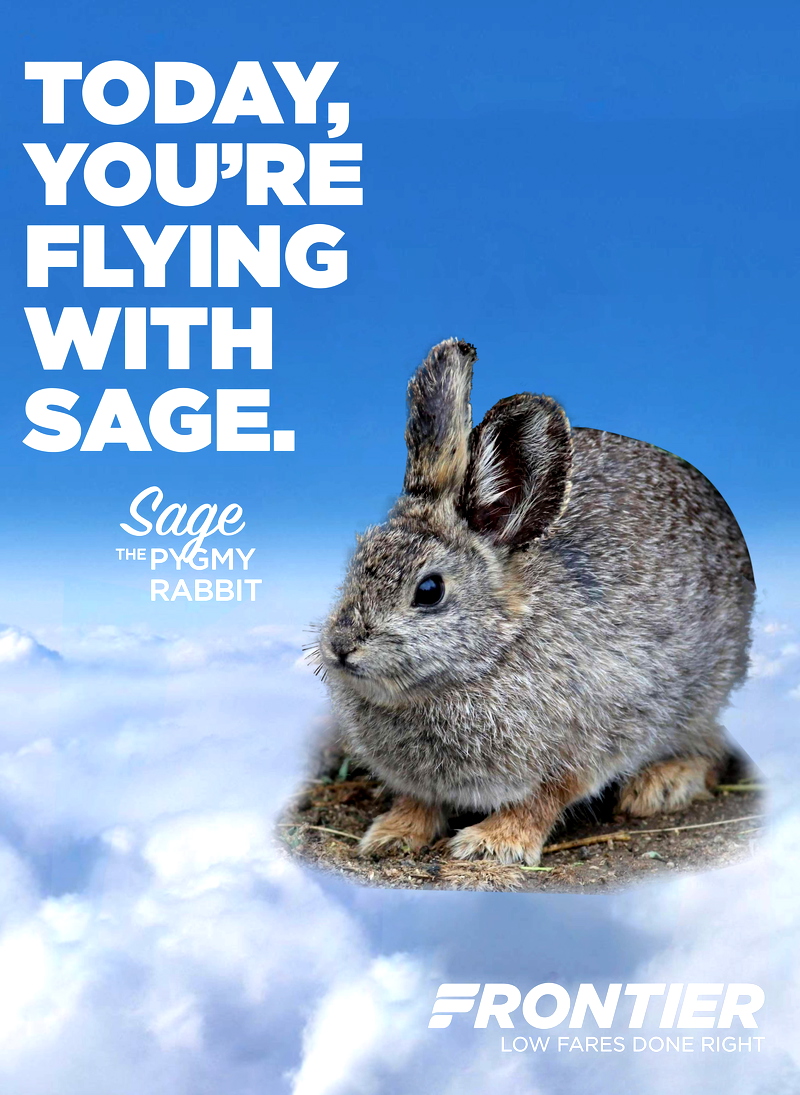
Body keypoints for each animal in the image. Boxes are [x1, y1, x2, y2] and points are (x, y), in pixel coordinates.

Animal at [316, 338, 755, 865]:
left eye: (429, 590)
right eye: (357, 561)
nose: (341, 646)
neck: (493, 654)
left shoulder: (585, 746)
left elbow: (542, 799)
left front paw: (492, 844)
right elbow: (418, 800)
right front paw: (392, 834)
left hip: (701, 696)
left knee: (710, 747)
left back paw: (660, 786)